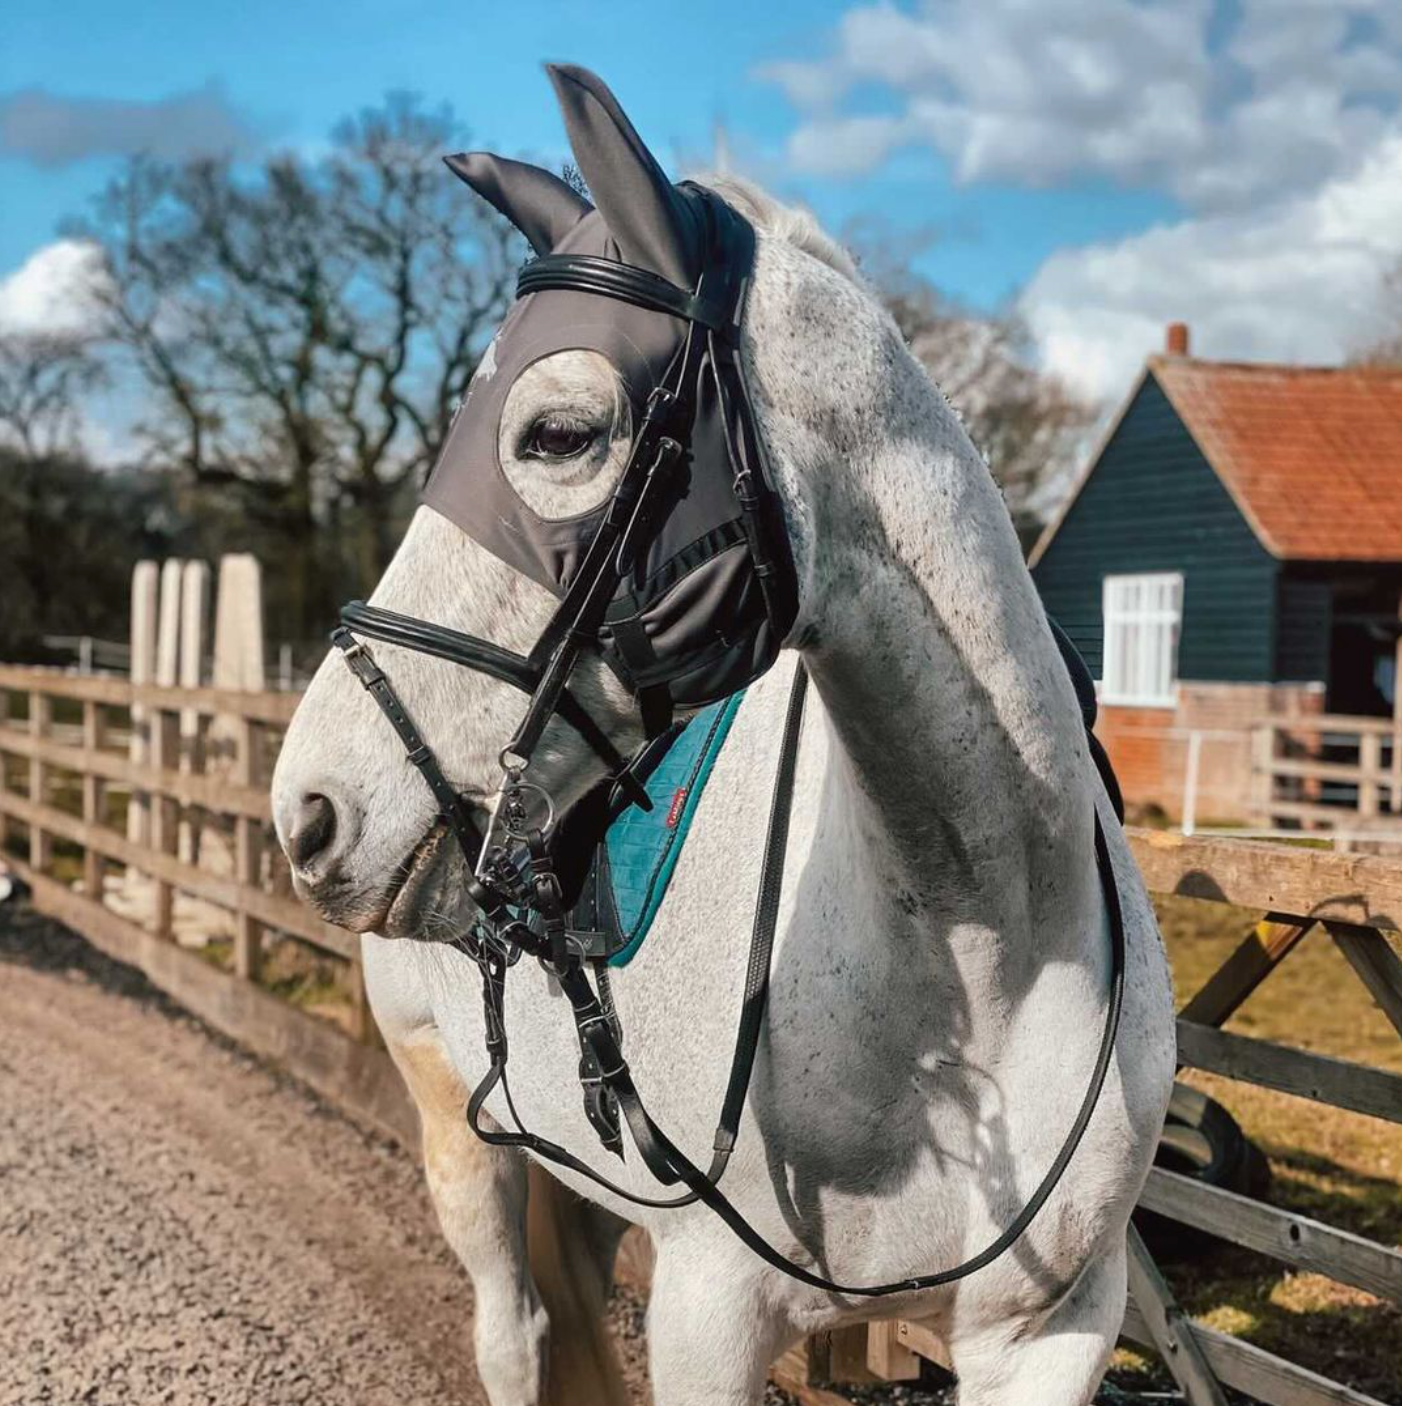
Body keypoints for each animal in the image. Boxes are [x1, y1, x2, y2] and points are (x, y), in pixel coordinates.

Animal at [271, 64, 1175, 1406]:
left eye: (556, 433)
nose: (310, 810)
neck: (987, 946)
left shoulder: (1052, 1333)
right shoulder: (712, 1308)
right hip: (454, 1117)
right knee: (513, 1328)